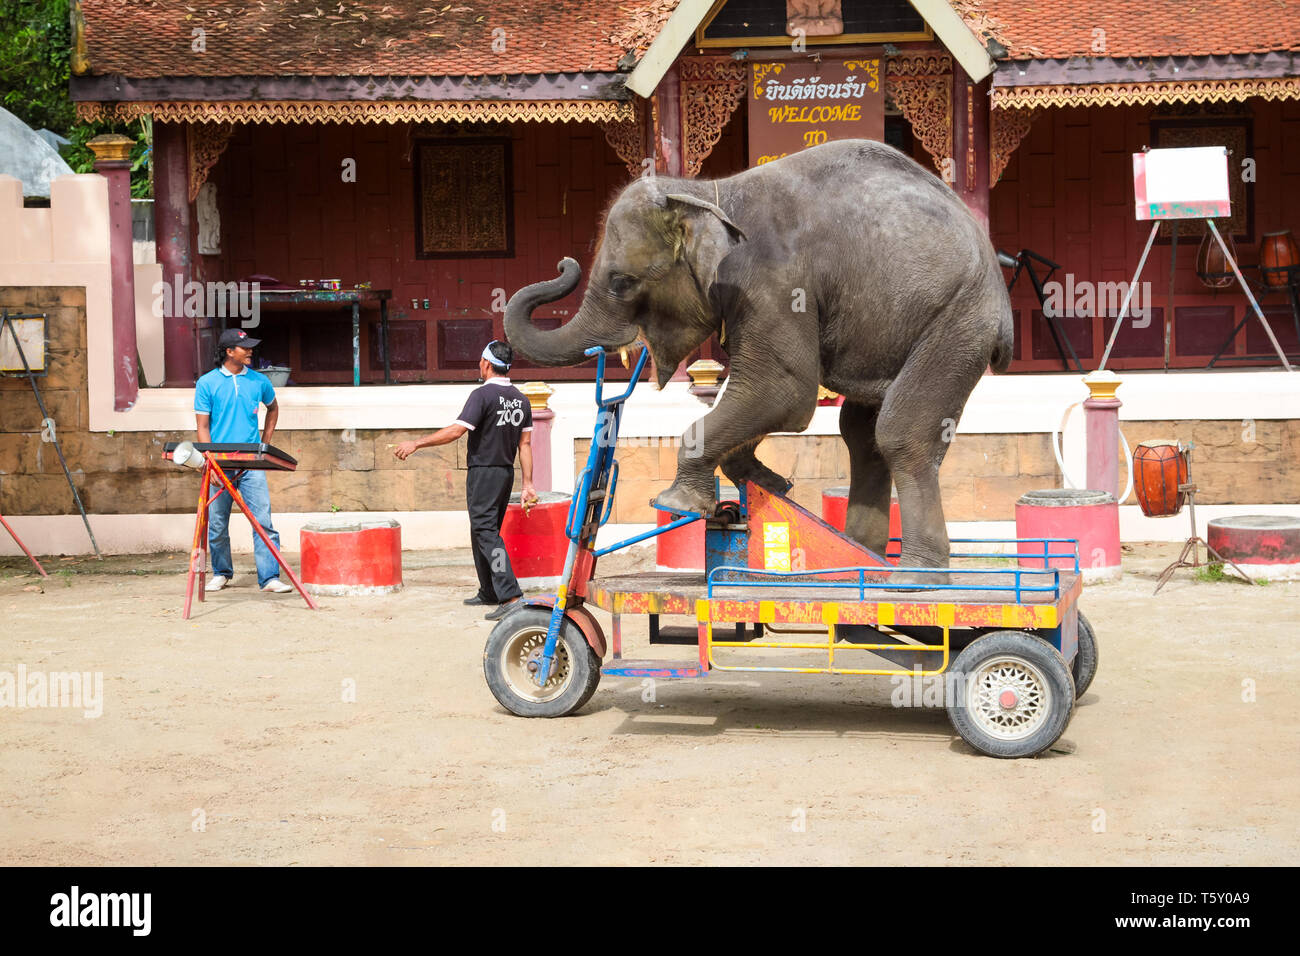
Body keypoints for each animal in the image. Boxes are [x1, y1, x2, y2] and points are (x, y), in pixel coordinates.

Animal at [505, 138, 1014, 582]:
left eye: (621, 282)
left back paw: (911, 579)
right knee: (861, 433)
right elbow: (767, 398)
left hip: (959, 321)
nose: (563, 264)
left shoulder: (771, 284)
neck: (705, 191)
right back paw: (860, 557)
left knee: (900, 432)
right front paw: (767, 483)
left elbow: (783, 393)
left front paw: (676, 503)